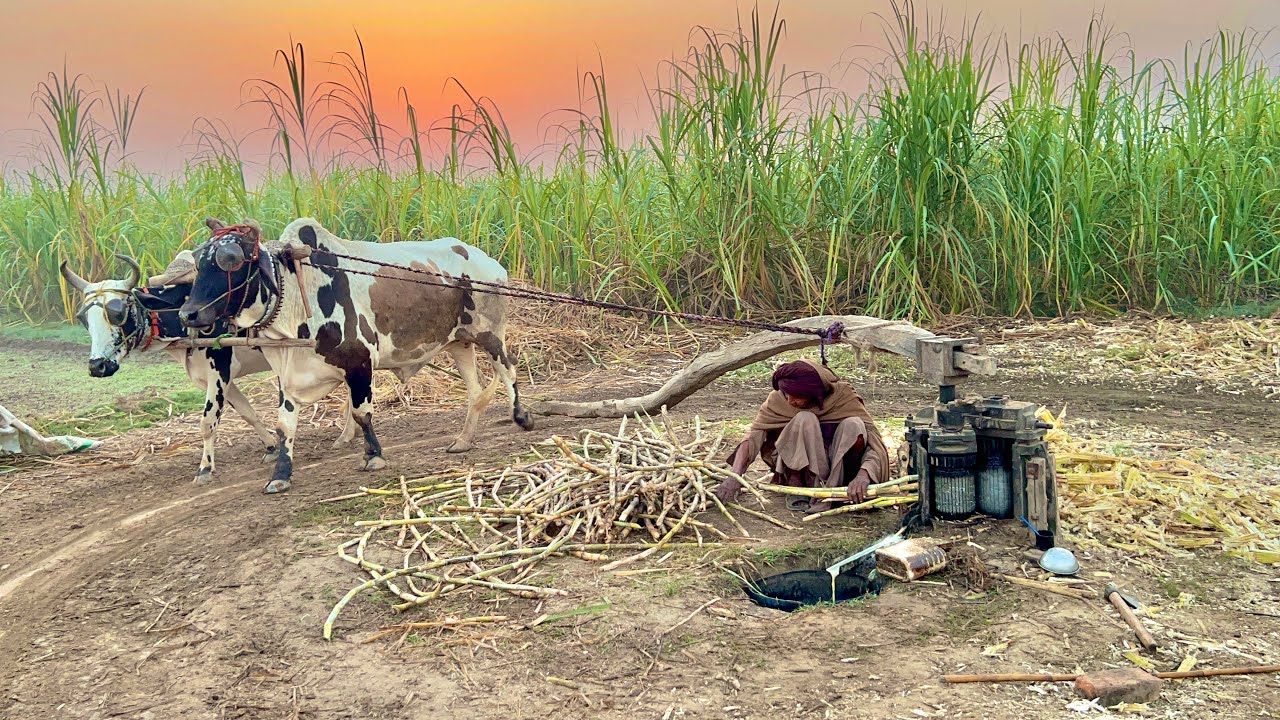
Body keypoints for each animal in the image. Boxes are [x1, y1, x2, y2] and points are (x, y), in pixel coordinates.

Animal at [59, 252, 358, 483]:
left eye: (118, 312)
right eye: (84, 318)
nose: (98, 366)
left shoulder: (218, 370)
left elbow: (207, 422)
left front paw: (204, 468)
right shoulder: (222, 378)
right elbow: (248, 413)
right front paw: (271, 447)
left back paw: (346, 435)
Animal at [177, 217, 534, 494]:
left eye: (232, 261)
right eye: (199, 263)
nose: (188, 314)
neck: (297, 297)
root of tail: (484, 259)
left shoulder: (360, 363)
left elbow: (362, 414)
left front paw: (373, 455)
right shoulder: (288, 378)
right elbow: (283, 427)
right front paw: (280, 475)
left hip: (491, 334)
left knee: (509, 370)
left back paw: (521, 417)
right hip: (459, 343)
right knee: (476, 391)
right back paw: (463, 440)